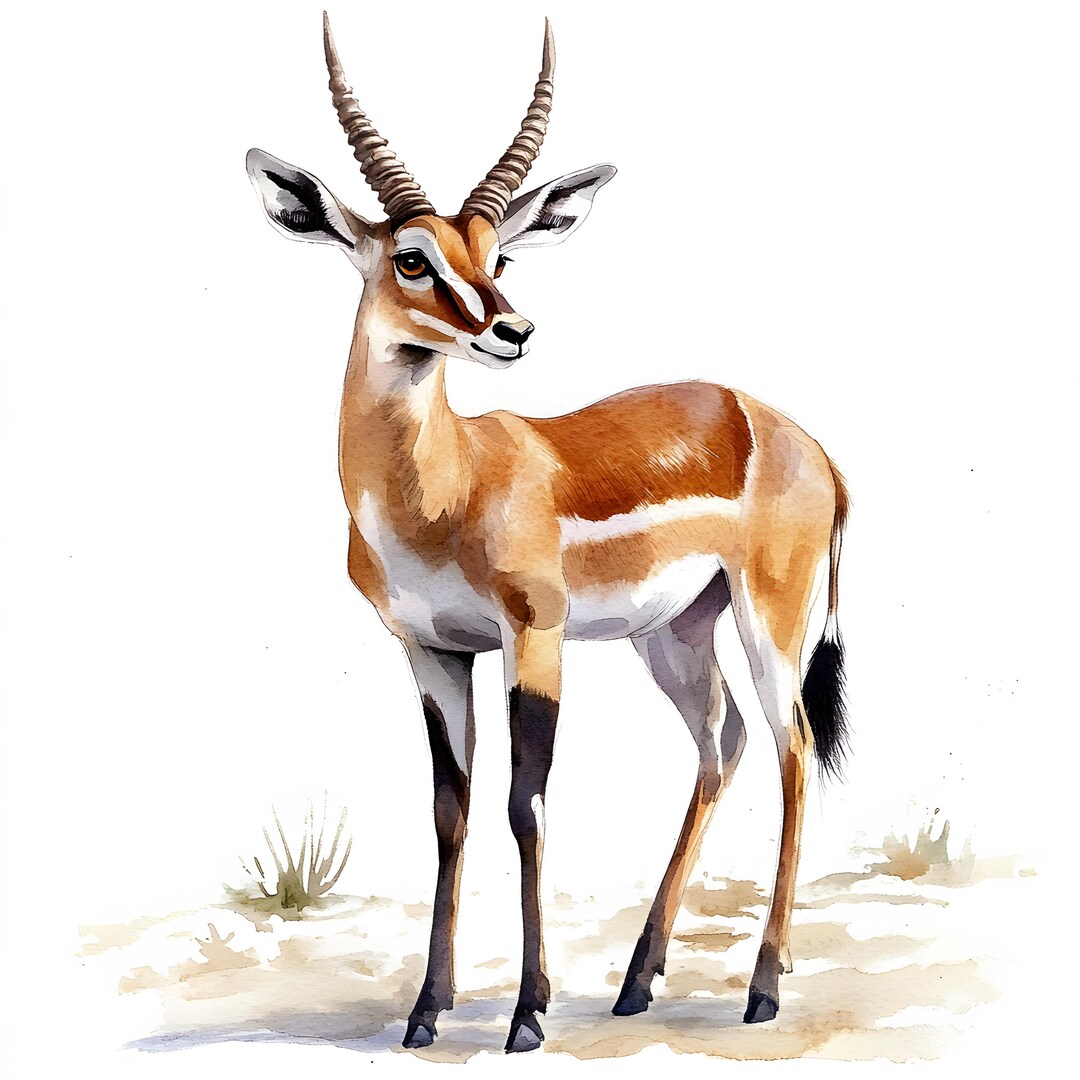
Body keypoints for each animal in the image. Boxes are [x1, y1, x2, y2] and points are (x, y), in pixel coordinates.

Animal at [247, 13, 850, 1054]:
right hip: (676, 633)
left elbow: (525, 804)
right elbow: (450, 812)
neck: (443, 487)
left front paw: (527, 1013)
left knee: (793, 748)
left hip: (769, 620)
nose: (514, 329)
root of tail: (798, 438)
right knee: (722, 742)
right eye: (413, 256)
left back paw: (763, 990)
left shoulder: (536, 637)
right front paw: (426, 1010)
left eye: (502, 255)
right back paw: (637, 981)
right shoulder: (433, 653)